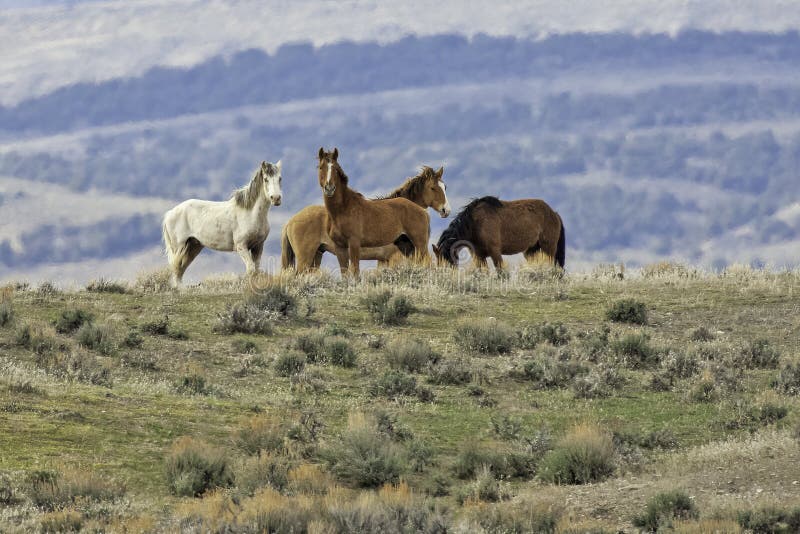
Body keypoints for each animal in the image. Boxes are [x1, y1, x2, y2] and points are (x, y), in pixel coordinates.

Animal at [281, 165, 450, 272]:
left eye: (445, 187)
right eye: (433, 188)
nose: (446, 210)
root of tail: (290, 221)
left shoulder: (383, 260)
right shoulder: (393, 259)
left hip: (316, 256)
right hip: (305, 258)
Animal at [317, 147, 431, 276]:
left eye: (336, 168)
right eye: (321, 167)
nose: (329, 188)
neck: (343, 209)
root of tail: (423, 212)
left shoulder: (354, 243)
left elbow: (355, 272)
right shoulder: (339, 247)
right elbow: (344, 274)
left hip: (419, 243)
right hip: (405, 244)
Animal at [433, 196, 565, 273]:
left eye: (447, 260)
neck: (475, 223)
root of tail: (554, 213)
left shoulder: (495, 252)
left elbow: (500, 271)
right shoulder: (479, 256)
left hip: (548, 248)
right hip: (531, 251)